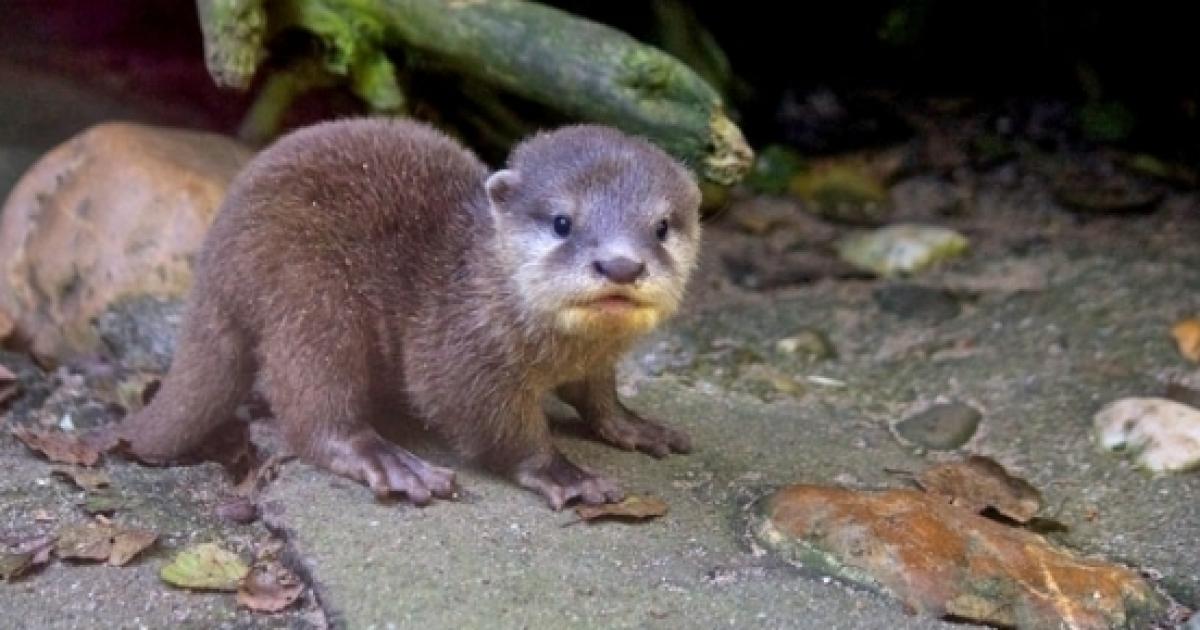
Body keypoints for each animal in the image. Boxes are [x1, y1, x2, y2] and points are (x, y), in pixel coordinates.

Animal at [118, 117, 702, 510]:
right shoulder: (459, 353)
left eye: (662, 227)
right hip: (308, 293)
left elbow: (598, 395)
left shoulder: (595, 361)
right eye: (563, 222)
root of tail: (213, 264)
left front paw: (633, 425)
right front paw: (565, 474)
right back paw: (391, 462)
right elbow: (493, 423)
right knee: (313, 409)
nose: (621, 265)